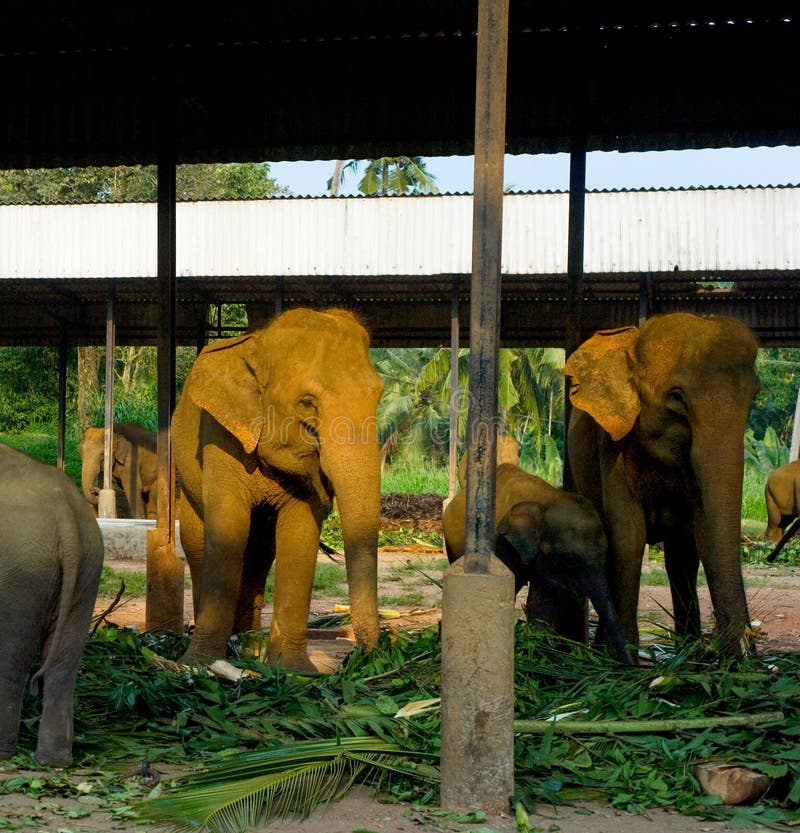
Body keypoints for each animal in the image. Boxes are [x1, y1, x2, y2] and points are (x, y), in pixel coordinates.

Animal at [0, 443, 104, 767]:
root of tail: (65, 516)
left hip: (22, 573)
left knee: (13, 657)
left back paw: (4, 754)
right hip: (88, 567)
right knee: (63, 661)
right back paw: (55, 761)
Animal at [172, 307, 384, 671]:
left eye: (379, 395)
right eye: (308, 403)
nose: (360, 658)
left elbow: (299, 534)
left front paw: (293, 671)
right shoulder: (219, 433)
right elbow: (228, 525)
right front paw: (199, 665)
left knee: (258, 551)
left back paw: (247, 648)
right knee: (198, 542)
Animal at [442, 462, 633, 664]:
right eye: (570, 559)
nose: (629, 666)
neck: (547, 498)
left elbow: (541, 601)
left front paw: (537, 656)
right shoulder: (501, 541)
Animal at [565, 312, 760, 657]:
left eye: (755, 396)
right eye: (677, 397)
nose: (747, 648)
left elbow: (699, 535)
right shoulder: (611, 442)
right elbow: (627, 534)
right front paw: (622, 655)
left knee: (680, 554)